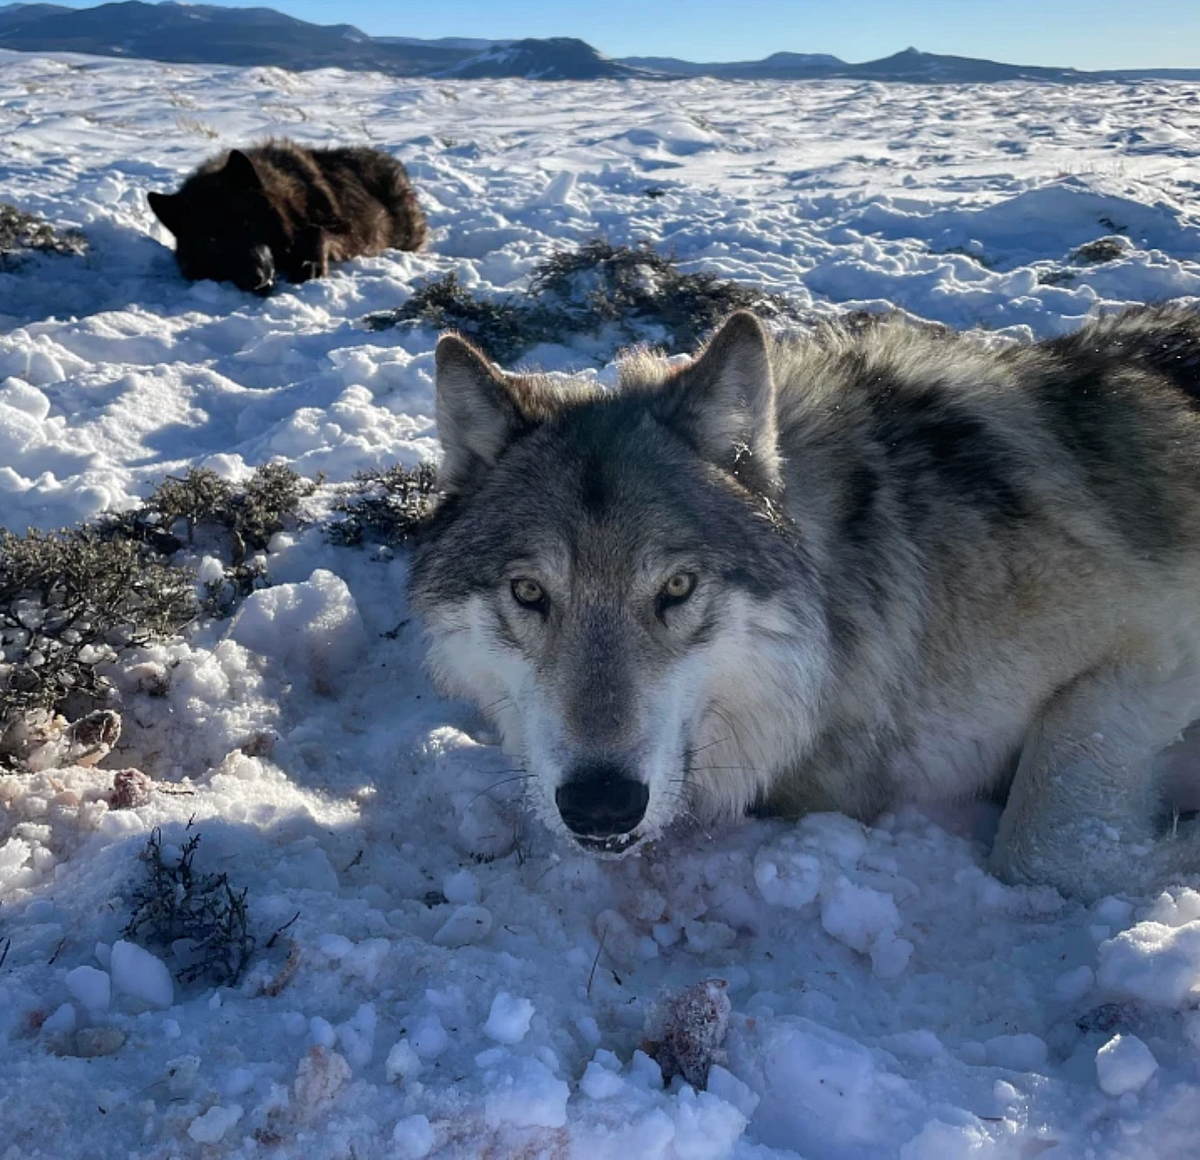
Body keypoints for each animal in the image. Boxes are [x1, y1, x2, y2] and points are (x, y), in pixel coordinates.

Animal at [148, 139, 426, 295]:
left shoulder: (348, 232)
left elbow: (315, 230)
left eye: (246, 223)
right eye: (212, 242)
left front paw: (310, 266)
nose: (254, 277)